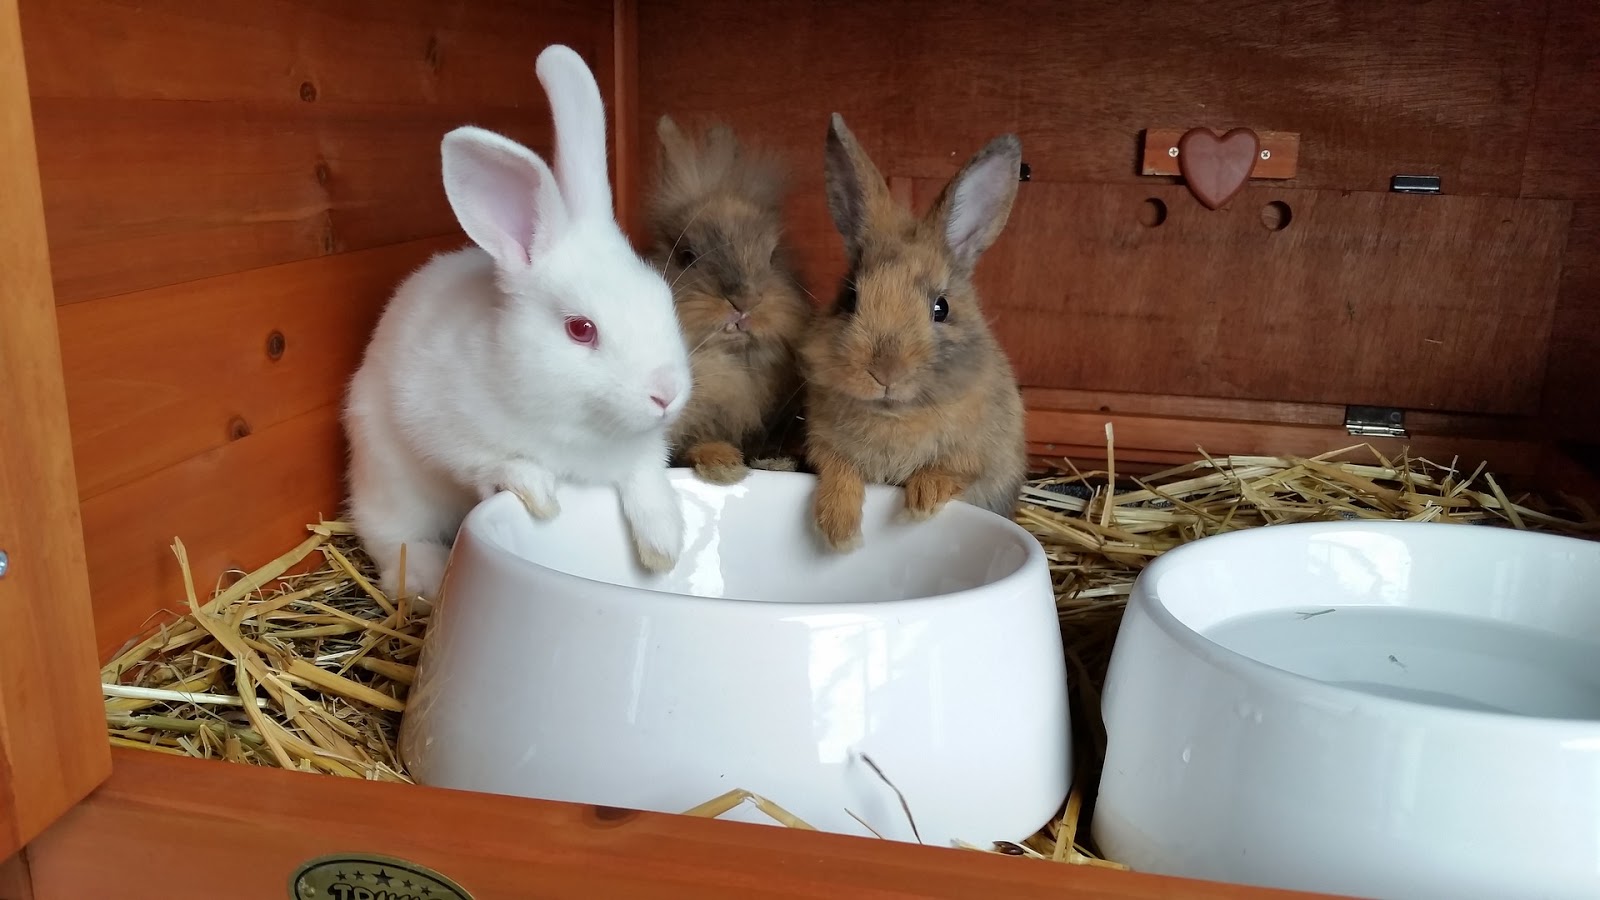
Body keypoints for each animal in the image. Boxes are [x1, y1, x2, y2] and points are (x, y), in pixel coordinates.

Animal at [341, 44, 693, 604]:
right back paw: (425, 577)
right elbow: (488, 460)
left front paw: (664, 545)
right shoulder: (439, 423)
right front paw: (537, 491)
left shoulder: (639, 454)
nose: (667, 395)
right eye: (580, 329)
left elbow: (645, 479)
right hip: (388, 477)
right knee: (391, 537)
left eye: (663, 300)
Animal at [800, 113, 1028, 552]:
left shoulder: (981, 454)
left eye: (941, 308)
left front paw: (923, 500)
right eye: (850, 298)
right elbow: (839, 473)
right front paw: (840, 532)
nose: (884, 372)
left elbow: (953, 469)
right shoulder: (824, 447)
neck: (897, 414)